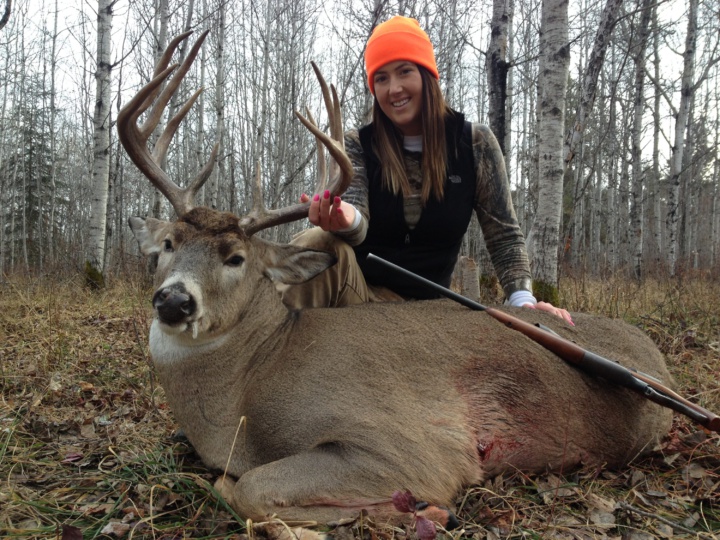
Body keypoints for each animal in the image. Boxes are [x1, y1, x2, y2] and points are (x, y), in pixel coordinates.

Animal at [119, 31, 673, 527]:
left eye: (236, 258)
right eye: (168, 244)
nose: (174, 301)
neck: (244, 390)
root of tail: (655, 352)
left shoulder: (406, 447)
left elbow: (246, 488)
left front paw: (418, 512)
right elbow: (226, 484)